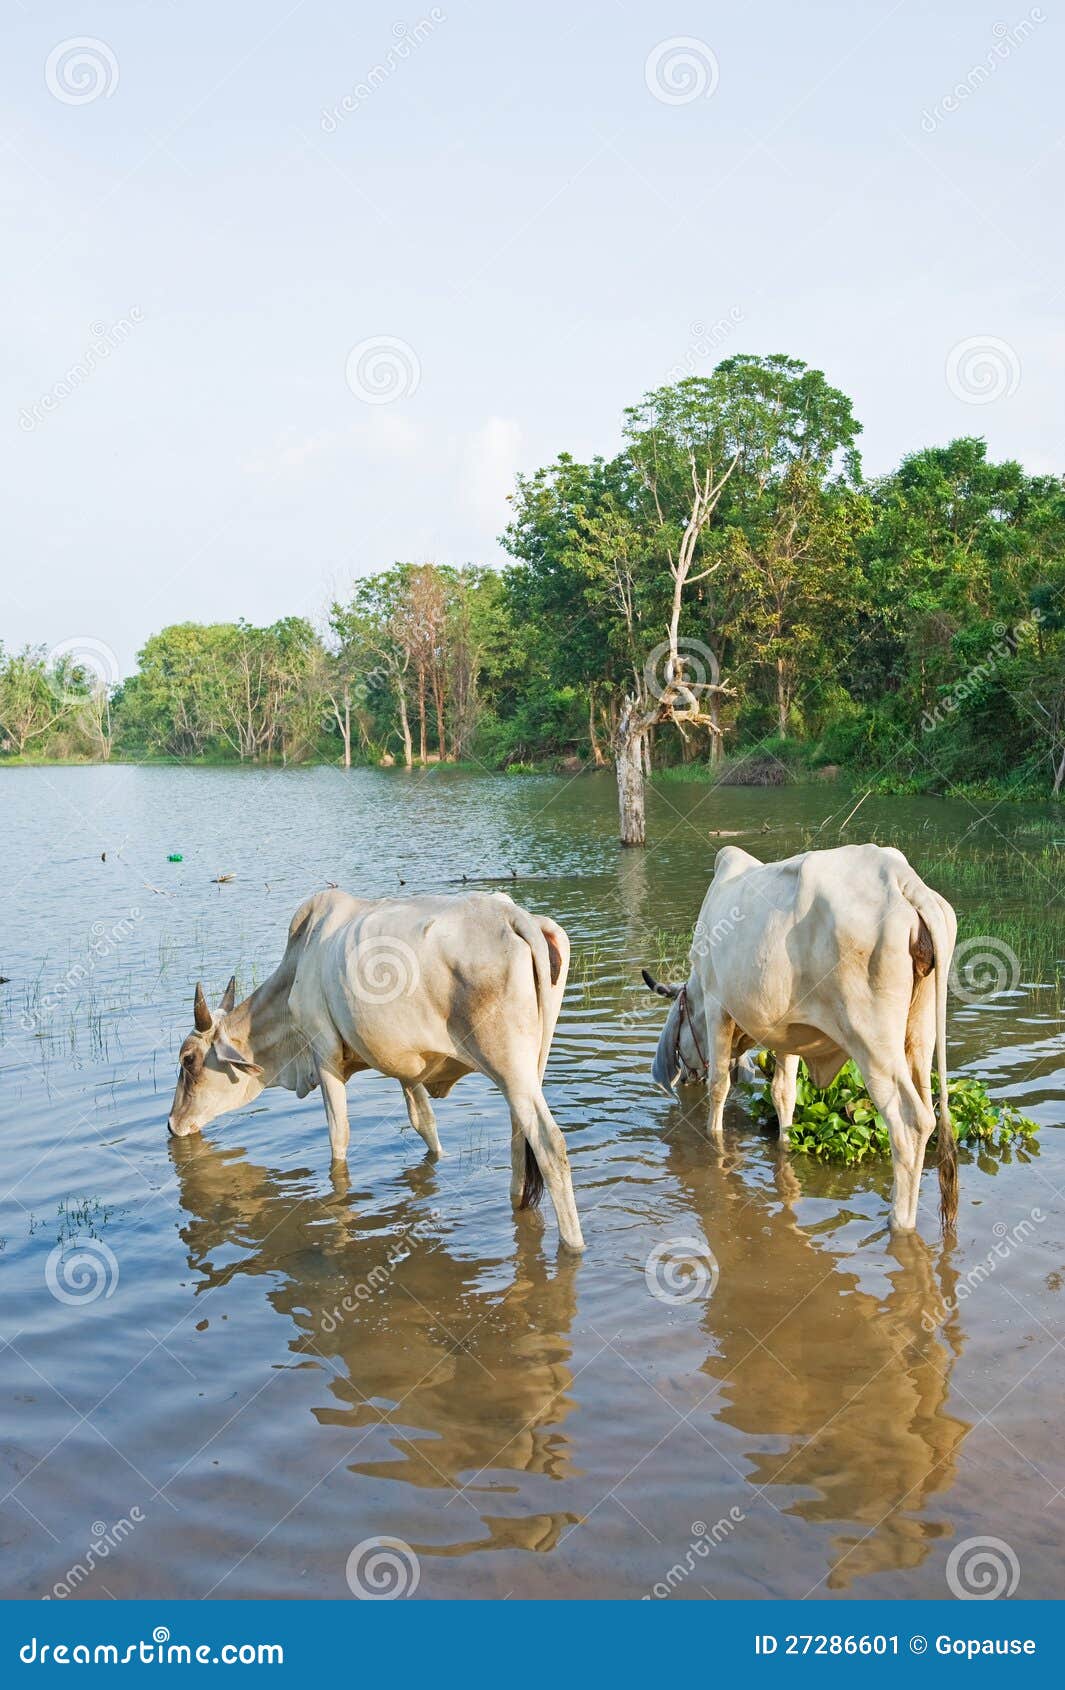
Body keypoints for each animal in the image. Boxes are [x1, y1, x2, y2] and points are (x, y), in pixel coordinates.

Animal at [167, 888, 585, 1251]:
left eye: (188, 1060)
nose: (173, 1124)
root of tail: (513, 916)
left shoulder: (323, 1053)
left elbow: (338, 1138)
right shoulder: (405, 1067)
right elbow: (424, 1124)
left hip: (509, 1066)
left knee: (550, 1145)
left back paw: (573, 1245)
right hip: (530, 1067)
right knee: (520, 1138)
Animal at [642, 843, 959, 1235]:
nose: (686, 1077)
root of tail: (903, 880)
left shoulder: (718, 1007)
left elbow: (719, 1086)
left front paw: (713, 1138)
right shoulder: (790, 1032)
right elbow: (784, 1093)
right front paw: (785, 1144)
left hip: (872, 1041)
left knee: (911, 1121)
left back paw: (899, 1221)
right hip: (920, 1033)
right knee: (930, 1110)